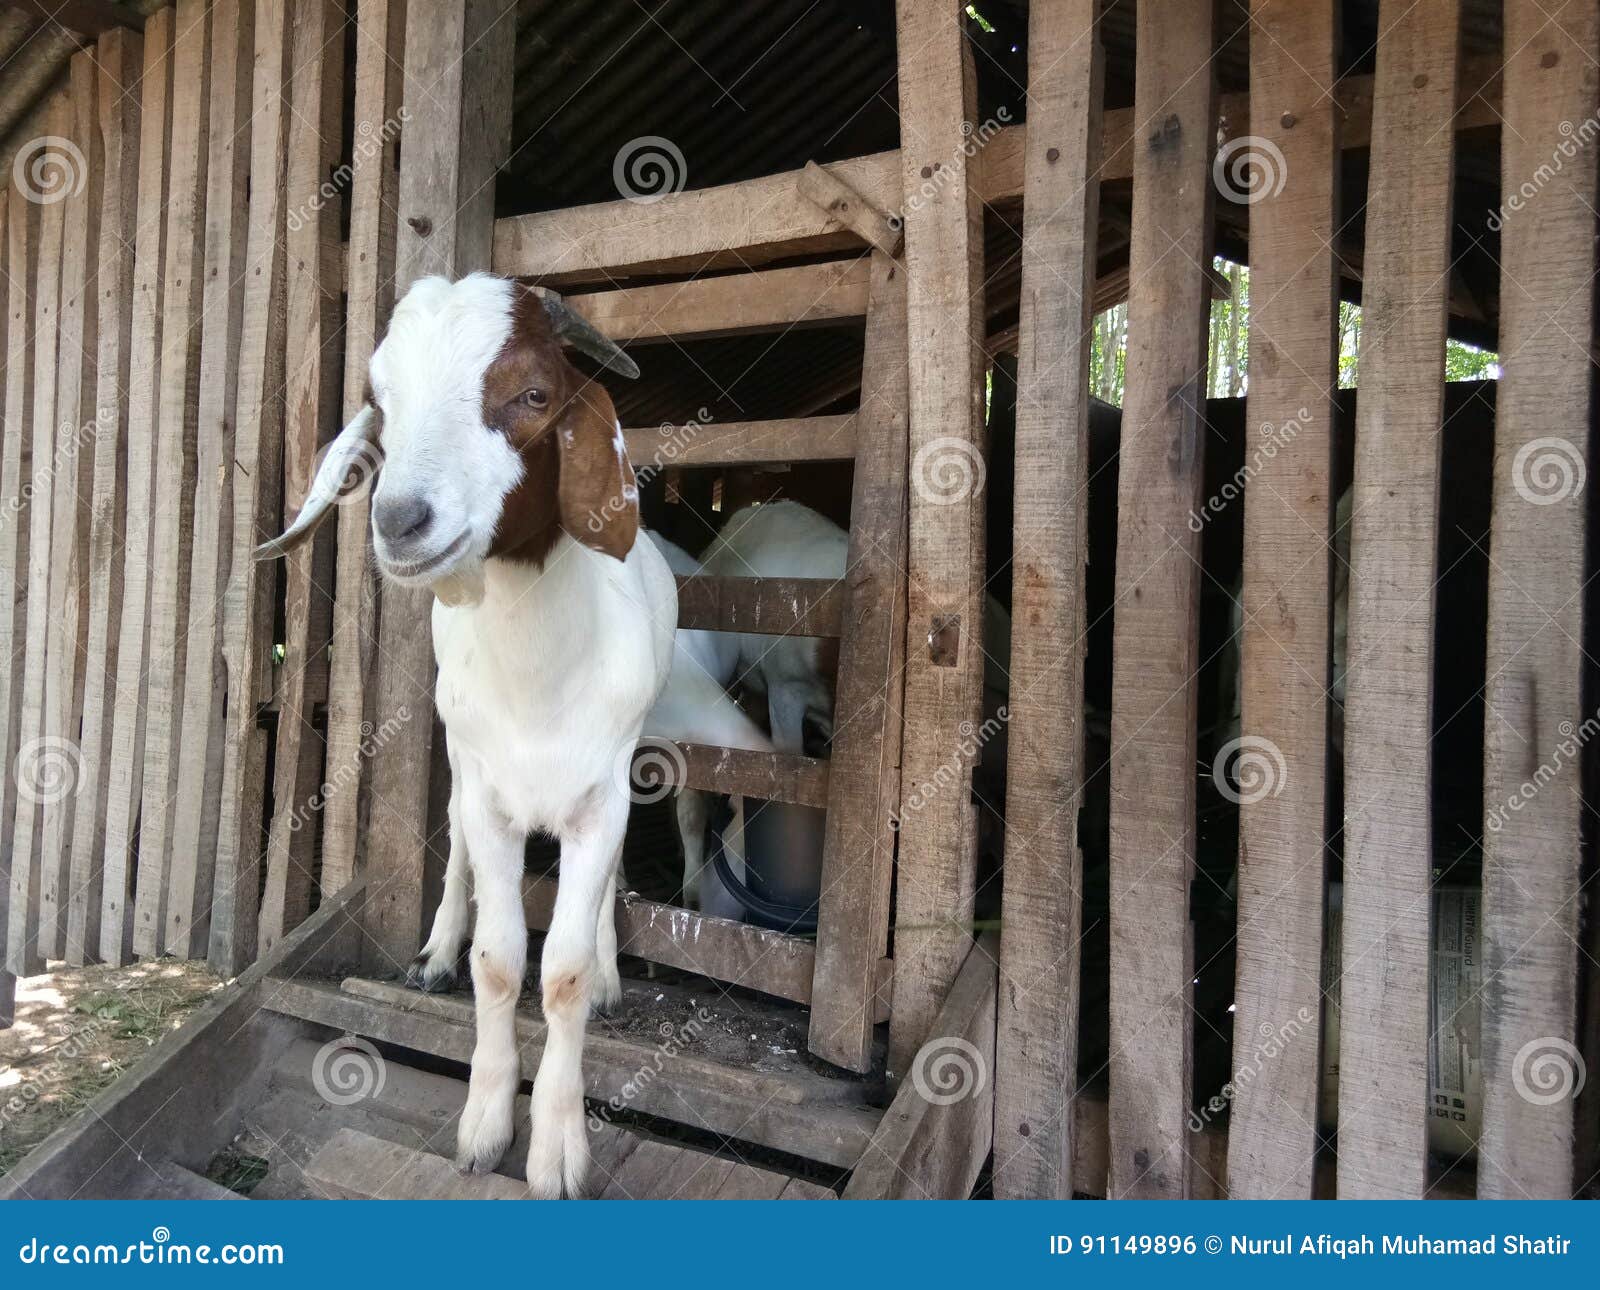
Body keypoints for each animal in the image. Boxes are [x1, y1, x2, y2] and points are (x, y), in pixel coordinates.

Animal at [256, 272, 663, 1198]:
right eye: (381, 401)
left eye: (535, 395)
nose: (401, 519)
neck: (540, 678)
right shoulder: (487, 791)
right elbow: (501, 959)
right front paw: (483, 1124)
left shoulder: (602, 798)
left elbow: (563, 970)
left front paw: (556, 1150)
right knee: (458, 856)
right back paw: (437, 949)